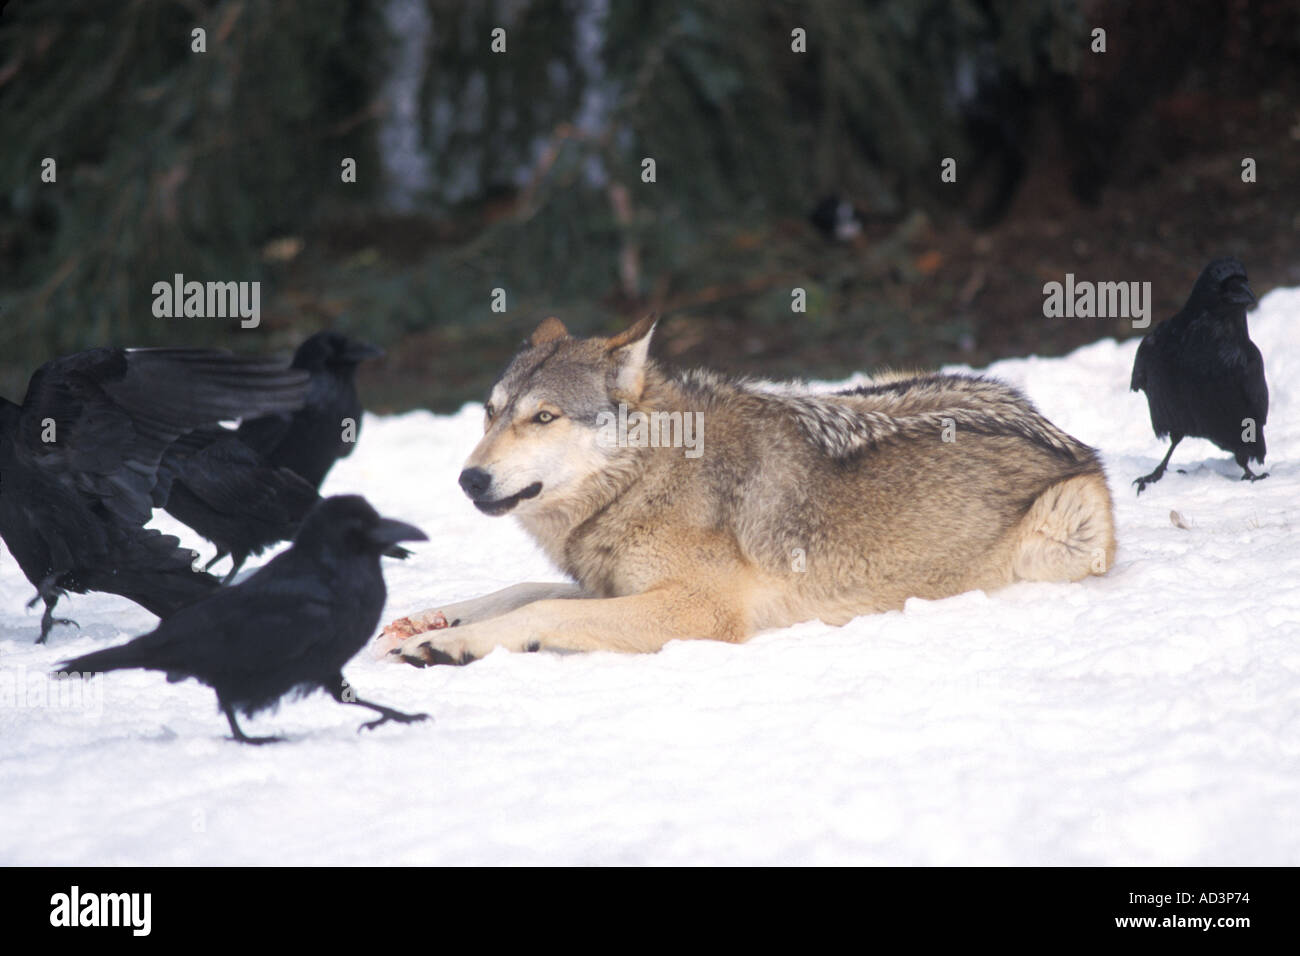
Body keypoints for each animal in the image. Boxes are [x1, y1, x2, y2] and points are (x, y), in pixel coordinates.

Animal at [379, 316, 1116, 665]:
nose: (469, 478)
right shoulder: (622, 585)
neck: (648, 475)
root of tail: (1060, 430)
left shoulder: (700, 610)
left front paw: (446, 647)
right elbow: (522, 590)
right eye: (490, 412)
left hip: (1064, 530)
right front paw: (434, 620)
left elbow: (541, 610)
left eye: (543, 417)